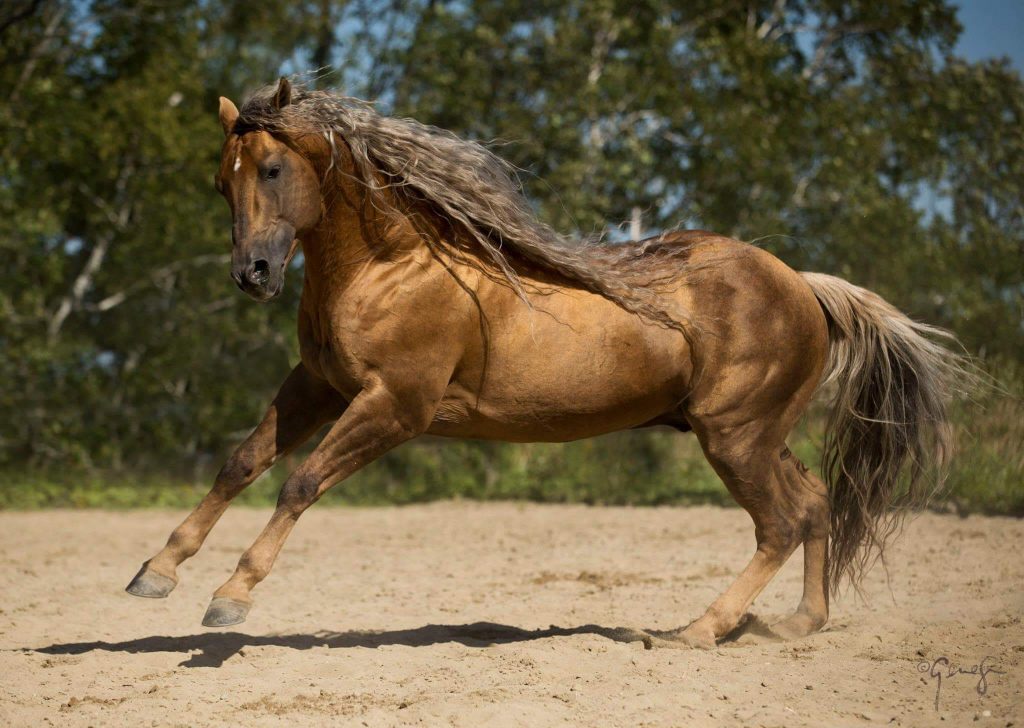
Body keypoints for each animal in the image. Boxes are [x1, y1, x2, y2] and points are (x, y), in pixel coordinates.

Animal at [126, 78, 967, 647]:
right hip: (754, 433)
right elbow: (241, 463)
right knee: (817, 501)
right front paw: (155, 574)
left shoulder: (394, 406)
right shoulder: (319, 387)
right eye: (221, 181)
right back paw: (797, 624)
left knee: (781, 522)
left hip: (736, 438)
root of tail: (804, 285)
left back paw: (696, 631)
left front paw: (231, 597)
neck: (390, 267)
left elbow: (299, 482)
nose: (253, 274)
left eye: (271, 169)